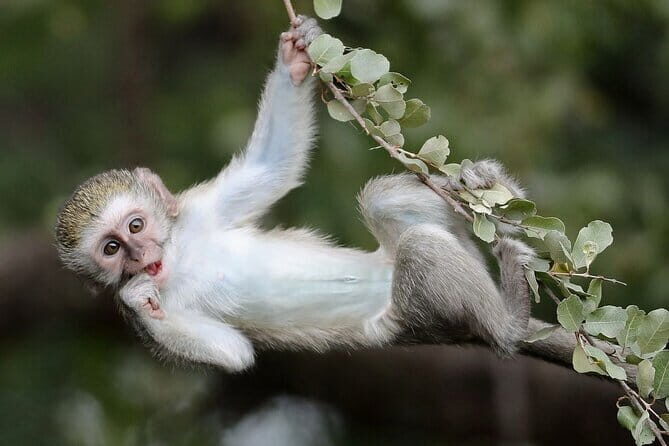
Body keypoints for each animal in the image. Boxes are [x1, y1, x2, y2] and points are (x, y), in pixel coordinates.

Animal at [54, 16, 613, 375]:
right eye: (111, 250)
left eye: (135, 226)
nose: (140, 255)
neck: (179, 254)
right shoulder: (138, 319)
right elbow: (232, 352)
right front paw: (139, 294)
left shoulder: (197, 210)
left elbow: (271, 166)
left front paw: (295, 56)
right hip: (406, 320)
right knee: (420, 249)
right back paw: (510, 322)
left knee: (386, 201)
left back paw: (490, 196)